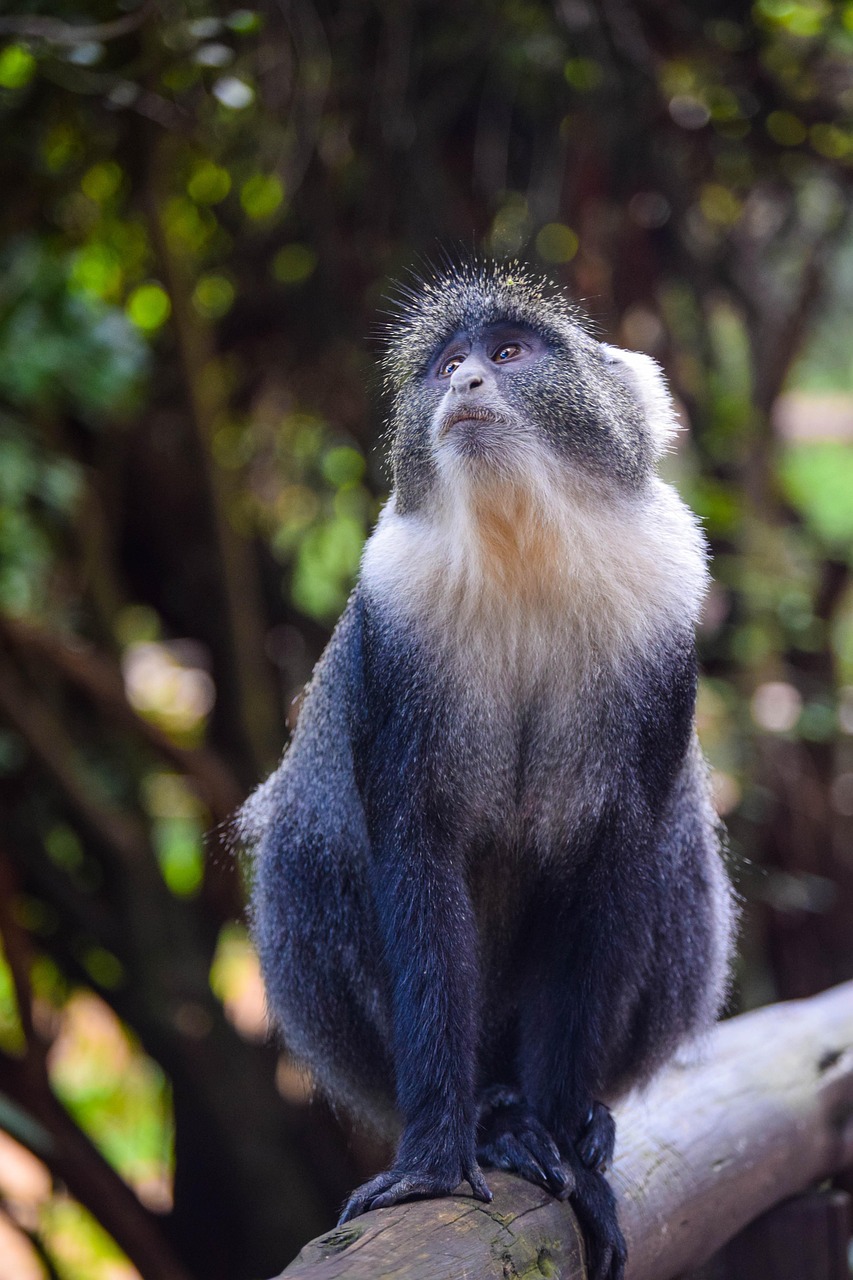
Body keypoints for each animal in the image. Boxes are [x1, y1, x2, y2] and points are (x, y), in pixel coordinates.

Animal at [238, 260, 736, 1280]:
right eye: (445, 365)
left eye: (508, 353)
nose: (466, 383)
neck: (523, 548)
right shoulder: (395, 623)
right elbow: (413, 856)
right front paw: (437, 1158)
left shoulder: (666, 614)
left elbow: (618, 858)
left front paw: (569, 1150)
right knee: (307, 845)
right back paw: (495, 1116)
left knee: (676, 855)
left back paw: (556, 1121)